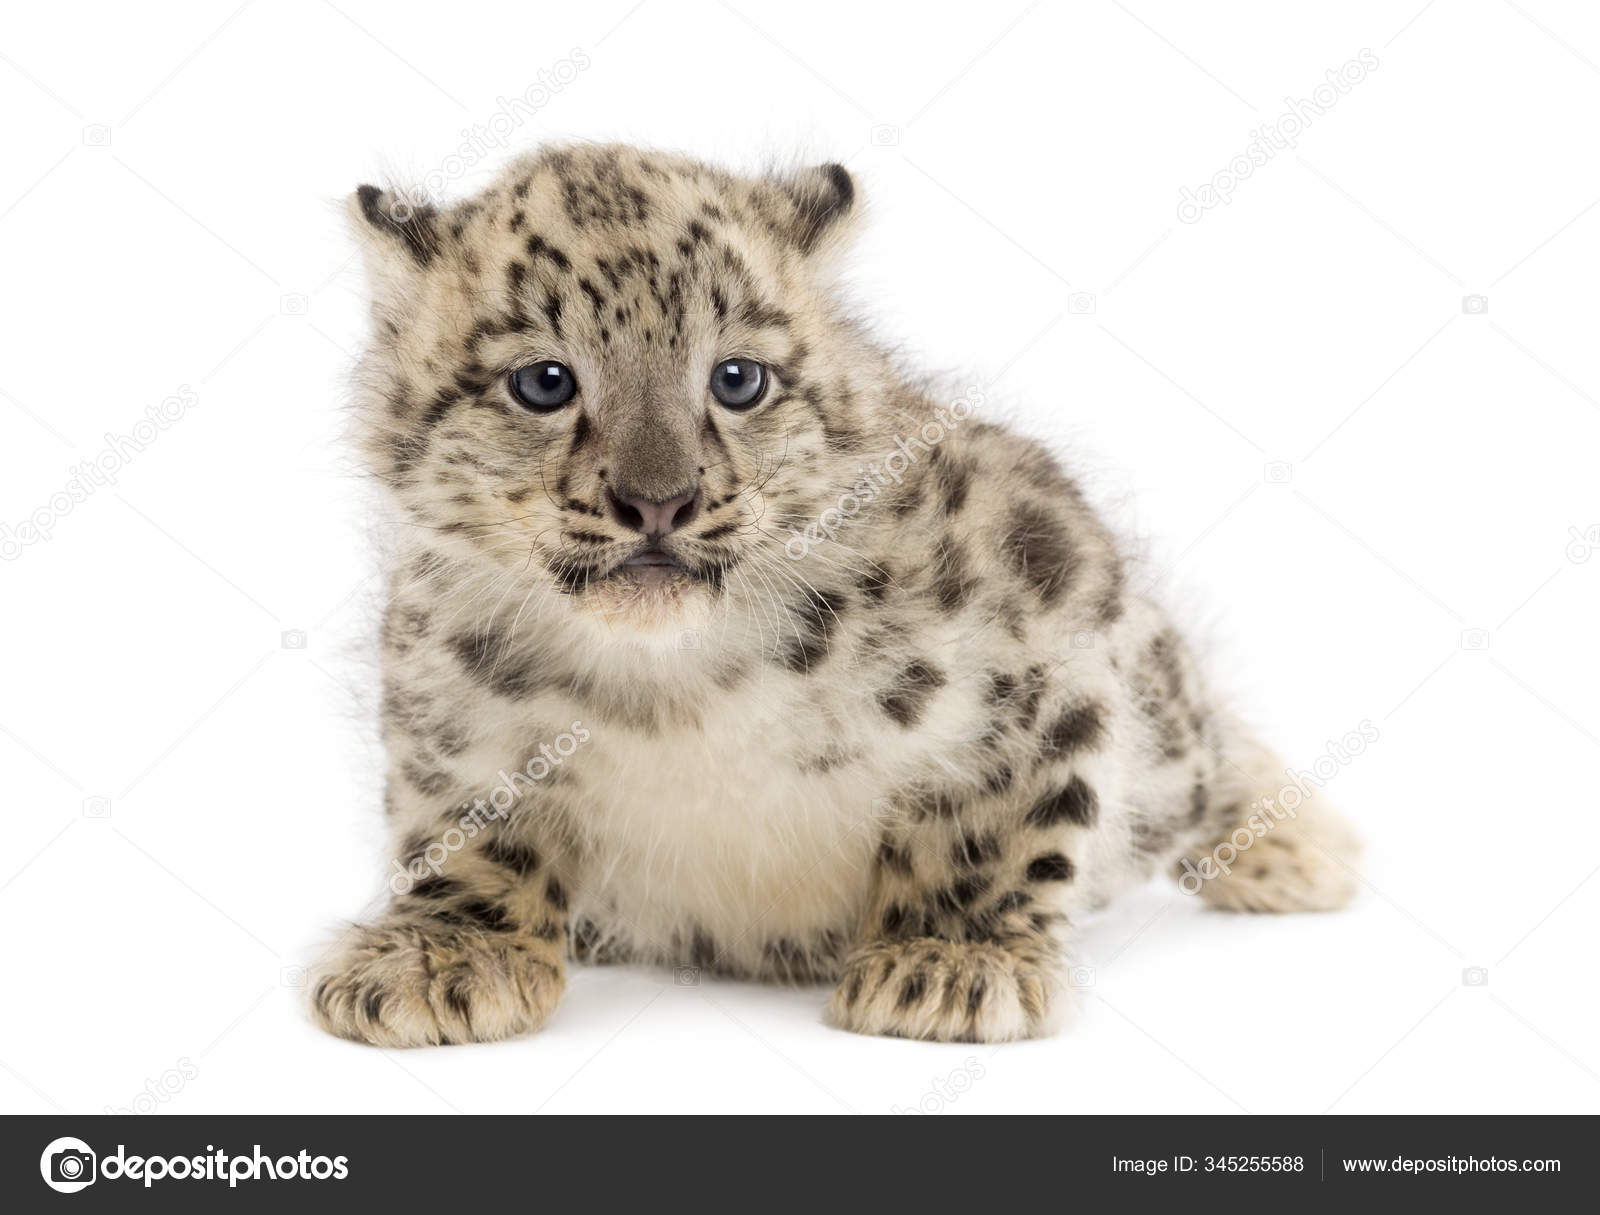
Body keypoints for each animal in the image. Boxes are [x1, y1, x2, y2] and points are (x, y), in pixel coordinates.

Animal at [309, 142, 1361, 1047]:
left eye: (739, 378)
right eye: (542, 382)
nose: (659, 500)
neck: (673, 692)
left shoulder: (1040, 602)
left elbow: (989, 820)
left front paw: (948, 962)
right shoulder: (448, 711)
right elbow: (470, 832)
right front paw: (440, 955)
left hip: (1165, 733)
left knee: (1199, 736)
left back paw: (1299, 847)